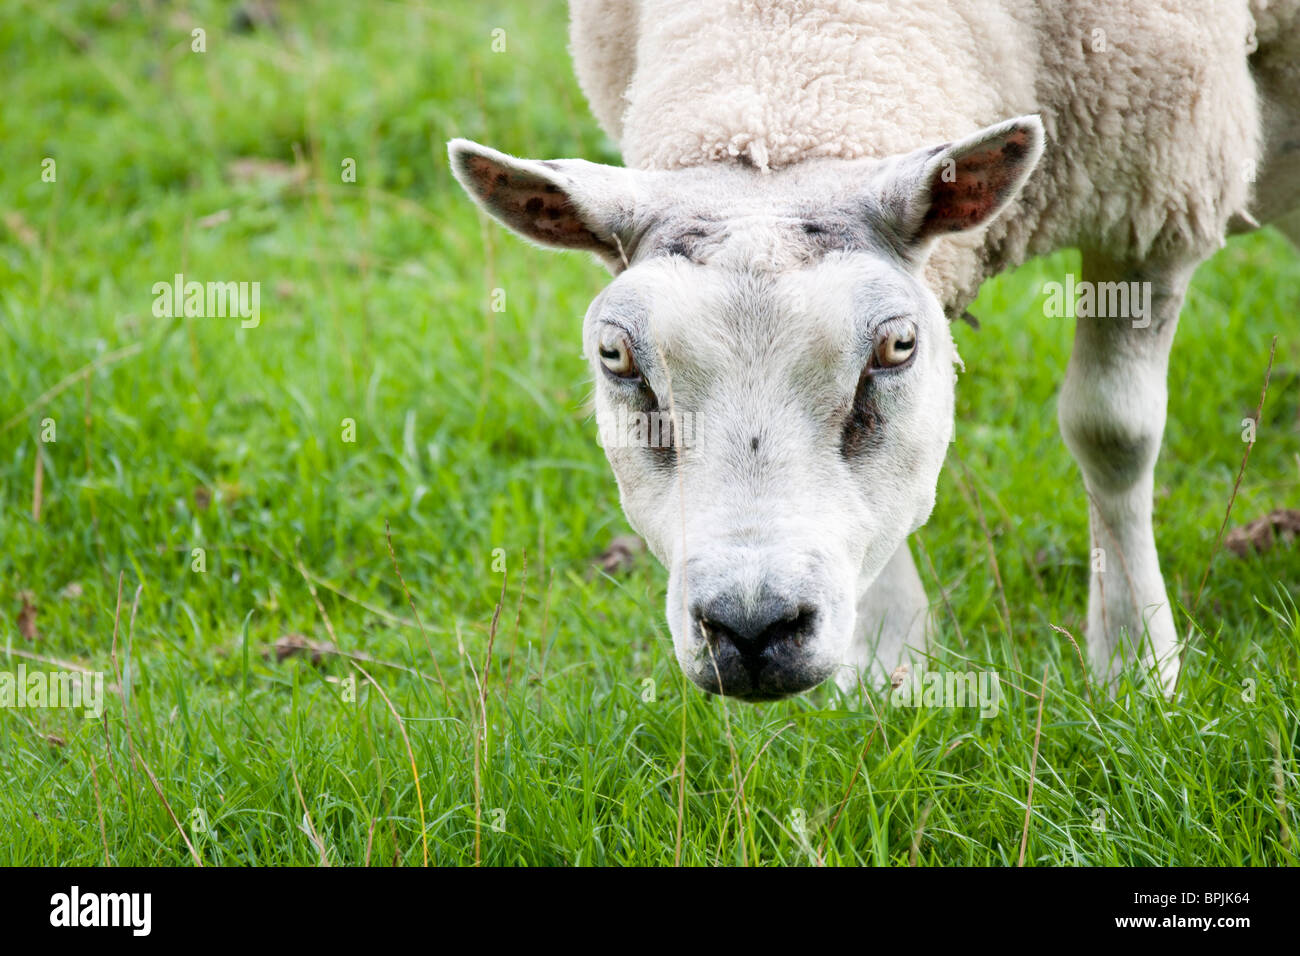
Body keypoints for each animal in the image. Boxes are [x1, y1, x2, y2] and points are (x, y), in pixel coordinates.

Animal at [450, 0, 1300, 700]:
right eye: (616, 360)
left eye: (896, 347)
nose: (752, 629)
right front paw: (892, 671)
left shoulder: (1157, 196)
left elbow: (1112, 433)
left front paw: (1135, 665)